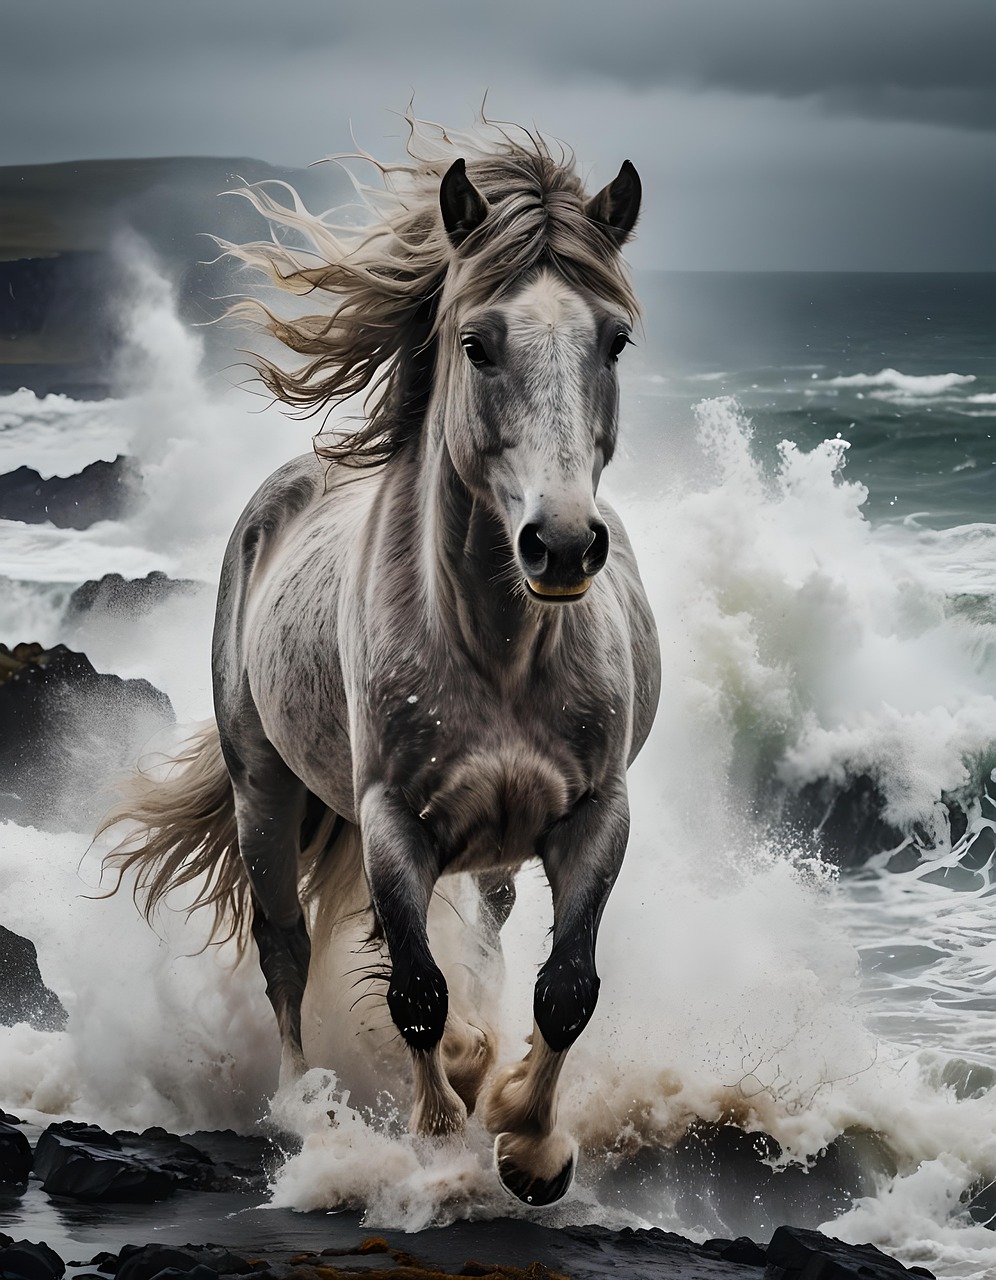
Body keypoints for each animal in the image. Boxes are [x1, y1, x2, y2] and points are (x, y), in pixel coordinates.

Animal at [103, 122, 661, 1207]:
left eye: (613, 339)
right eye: (477, 342)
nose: (563, 547)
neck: (497, 648)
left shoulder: (594, 813)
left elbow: (565, 988)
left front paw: (530, 1143)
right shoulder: (394, 819)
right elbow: (413, 992)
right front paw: (442, 1135)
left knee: (485, 926)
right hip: (265, 788)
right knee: (284, 948)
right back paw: (306, 1110)